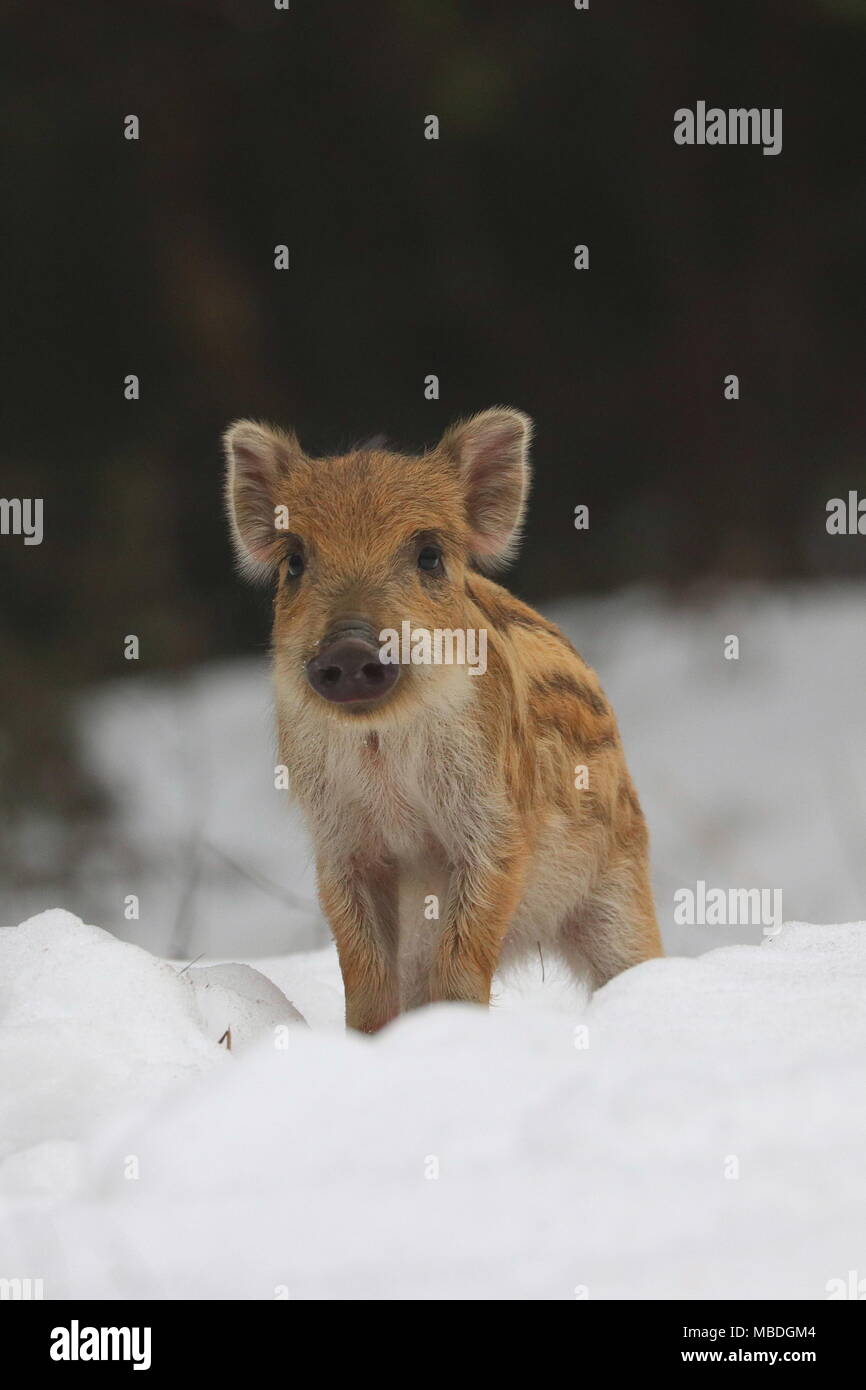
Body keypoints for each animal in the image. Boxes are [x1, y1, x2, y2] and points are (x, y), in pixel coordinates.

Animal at [224, 409, 662, 1031]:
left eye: (428, 554)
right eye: (295, 562)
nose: (350, 648)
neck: (382, 748)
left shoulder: (495, 822)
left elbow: (461, 956)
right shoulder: (340, 842)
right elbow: (364, 973)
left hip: (620, 883)